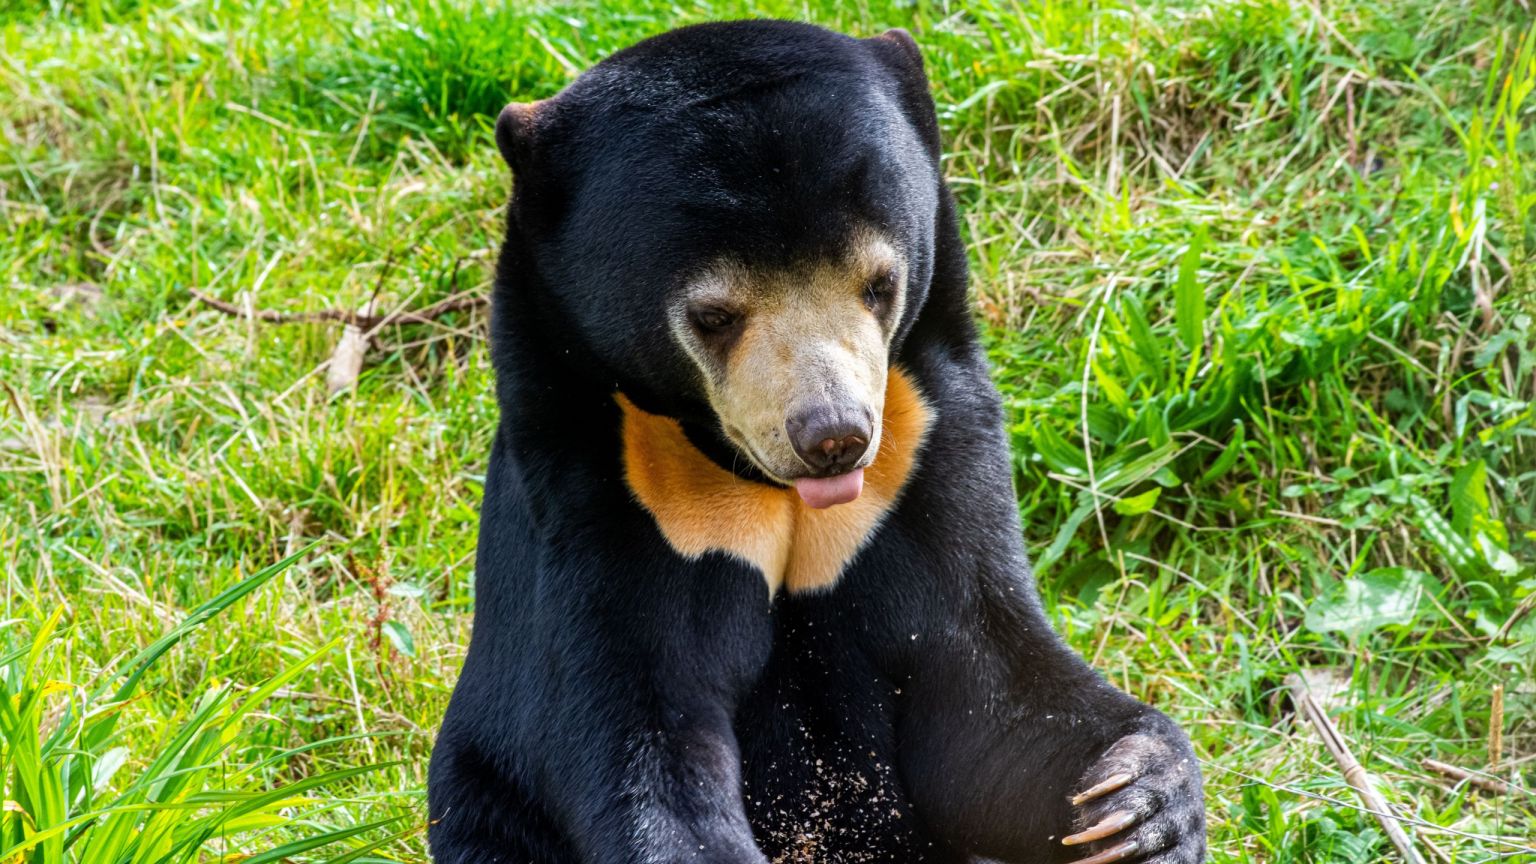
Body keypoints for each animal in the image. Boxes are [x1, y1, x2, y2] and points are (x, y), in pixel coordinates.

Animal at [427, 19, 1206, 864]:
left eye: (880, 284)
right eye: (713, 317)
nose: (833, 438)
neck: (760, 484)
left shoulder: (925, 451)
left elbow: (989, 689)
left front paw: (1135, 805)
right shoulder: (607, 498)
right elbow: (643, 739)